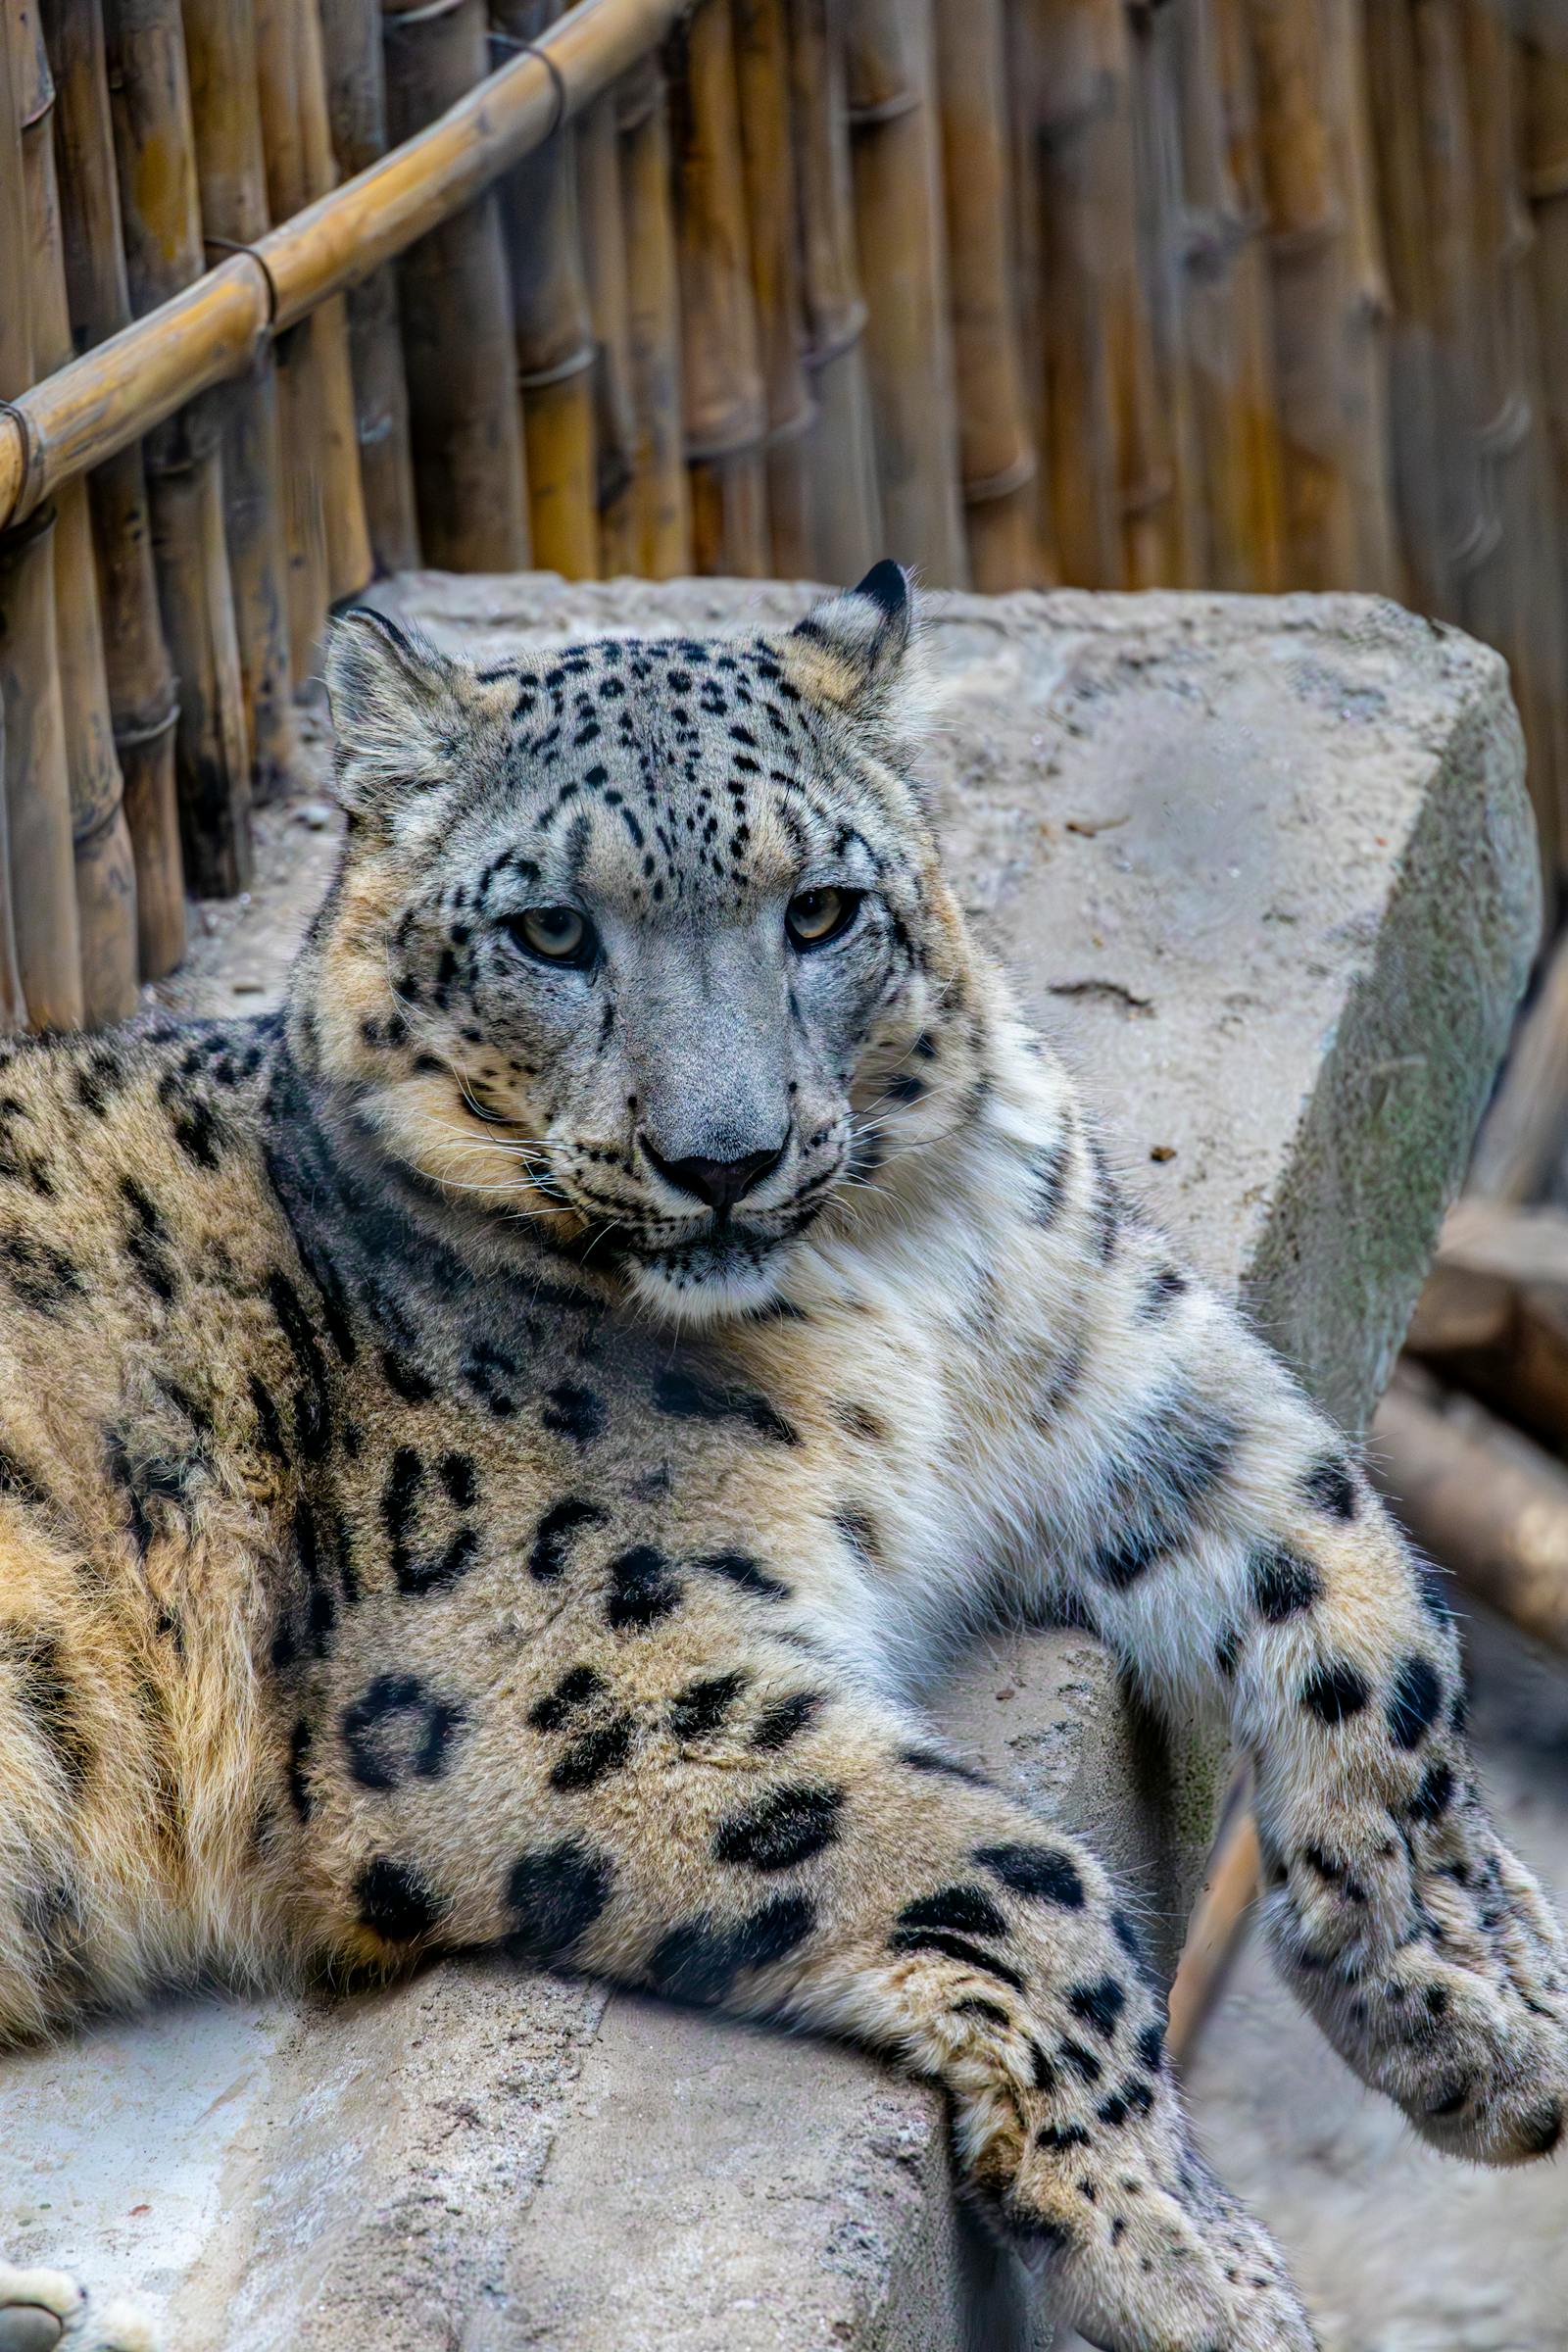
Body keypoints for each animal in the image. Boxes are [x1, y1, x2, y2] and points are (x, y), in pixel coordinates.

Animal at [0, 564, 1563, 2352]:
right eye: (552, 931)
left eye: (819, 911)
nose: (725, 1159)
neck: (899, 1288)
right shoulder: (570, 1676)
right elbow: (1016, 1867)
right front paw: (1187, 2255)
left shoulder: (1135, 1375)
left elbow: (1378, 1608)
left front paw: (1477, 2002)